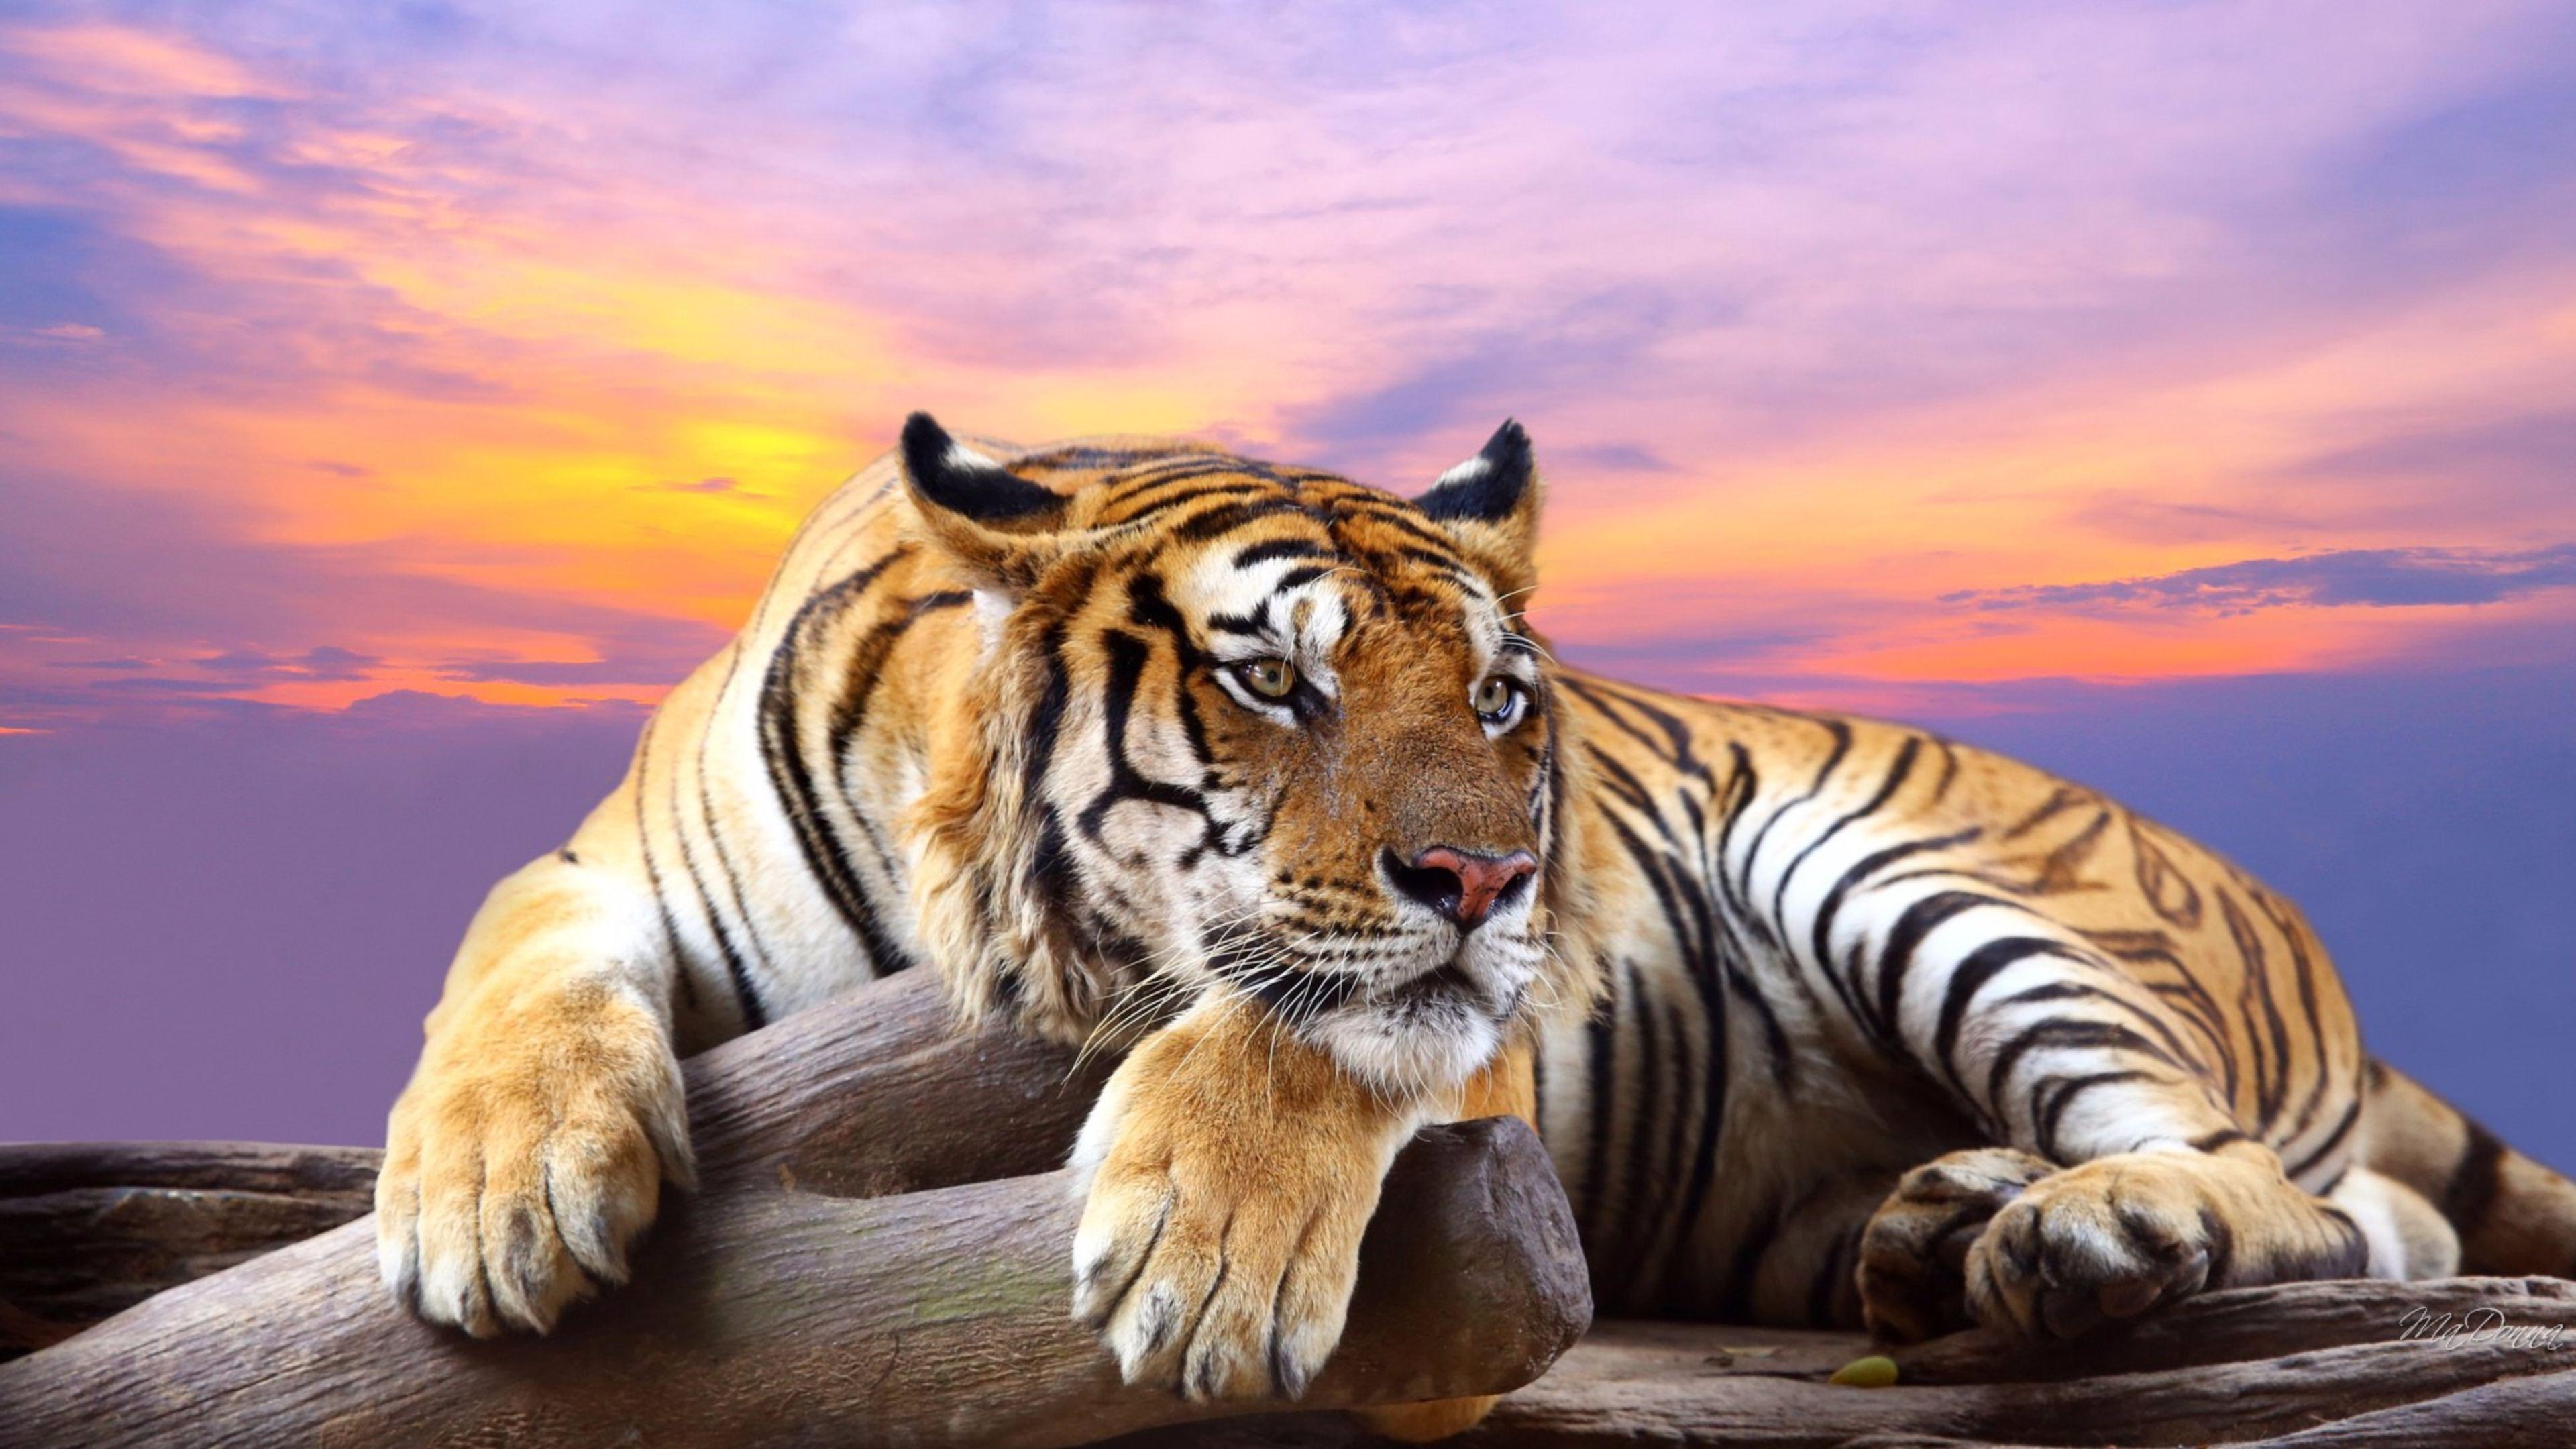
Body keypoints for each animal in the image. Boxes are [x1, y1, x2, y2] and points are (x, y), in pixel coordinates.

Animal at [378, 413, 2576, 1438]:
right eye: (1275, 680)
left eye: (1506, 698)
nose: (1496, 879)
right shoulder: (606, 866)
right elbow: (505, 959)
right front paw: (496, 1202)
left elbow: (1309, 1021)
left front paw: (1204, 1260)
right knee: (2381, 1217)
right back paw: (1944, 1221)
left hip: (1921, 875)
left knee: (2286, 1191)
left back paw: (2080, 1230)